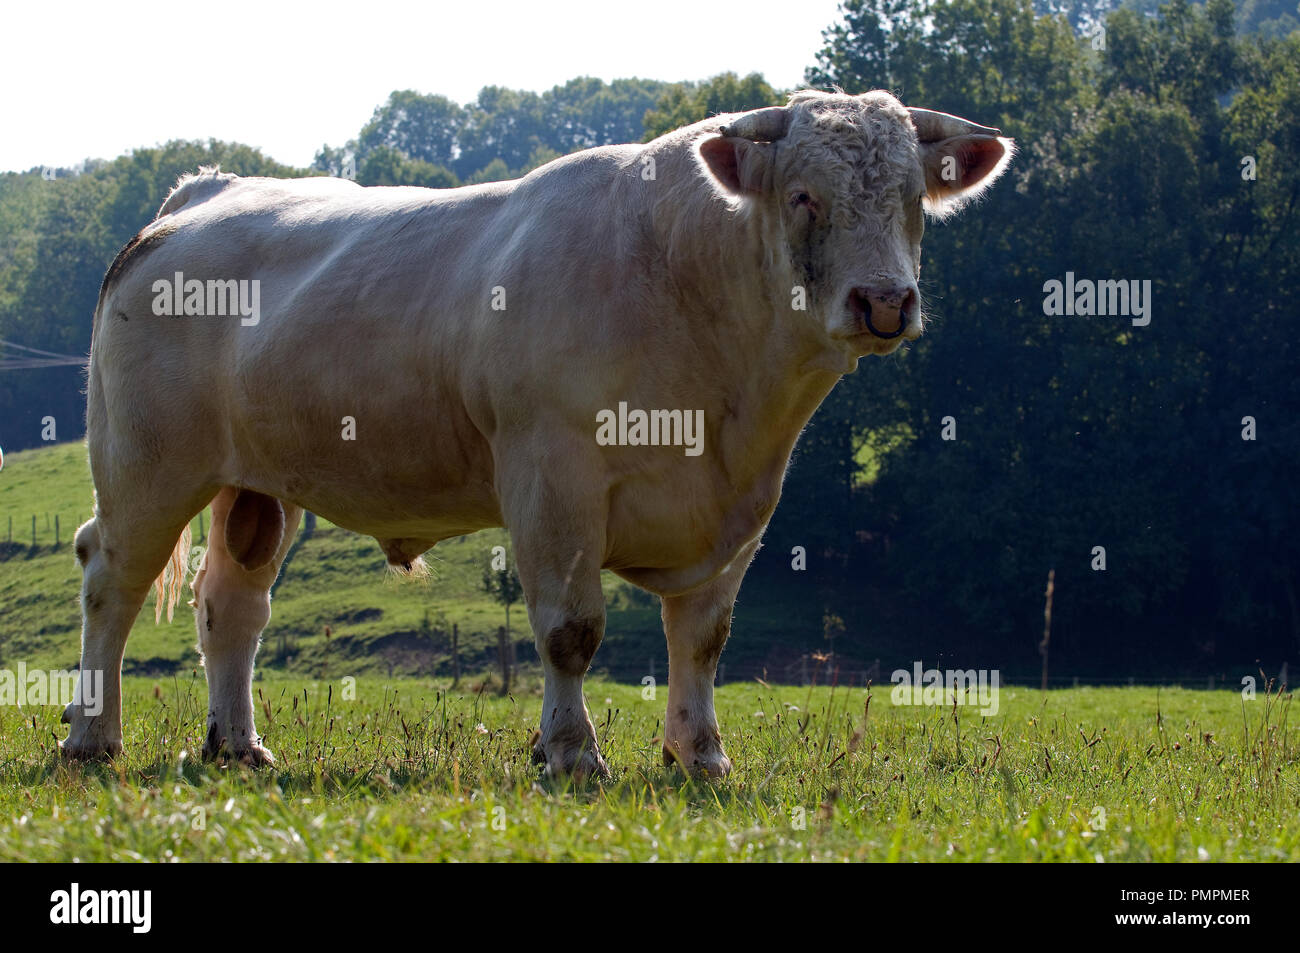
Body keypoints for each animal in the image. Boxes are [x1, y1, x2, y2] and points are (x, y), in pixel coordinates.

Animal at [61, 89, 1012, 779]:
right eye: (804, 195)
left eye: (913, 199)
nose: (885, 300)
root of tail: (206, 188)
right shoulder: (553, 476)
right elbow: (571, 629)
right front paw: (571, 752)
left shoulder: (742, 503)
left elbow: (703, 638)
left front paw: (700, 755)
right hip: (144, 465)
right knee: (112, 582)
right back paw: (91, 738)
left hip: (256, 484)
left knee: (233, 606)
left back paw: (238, 746)